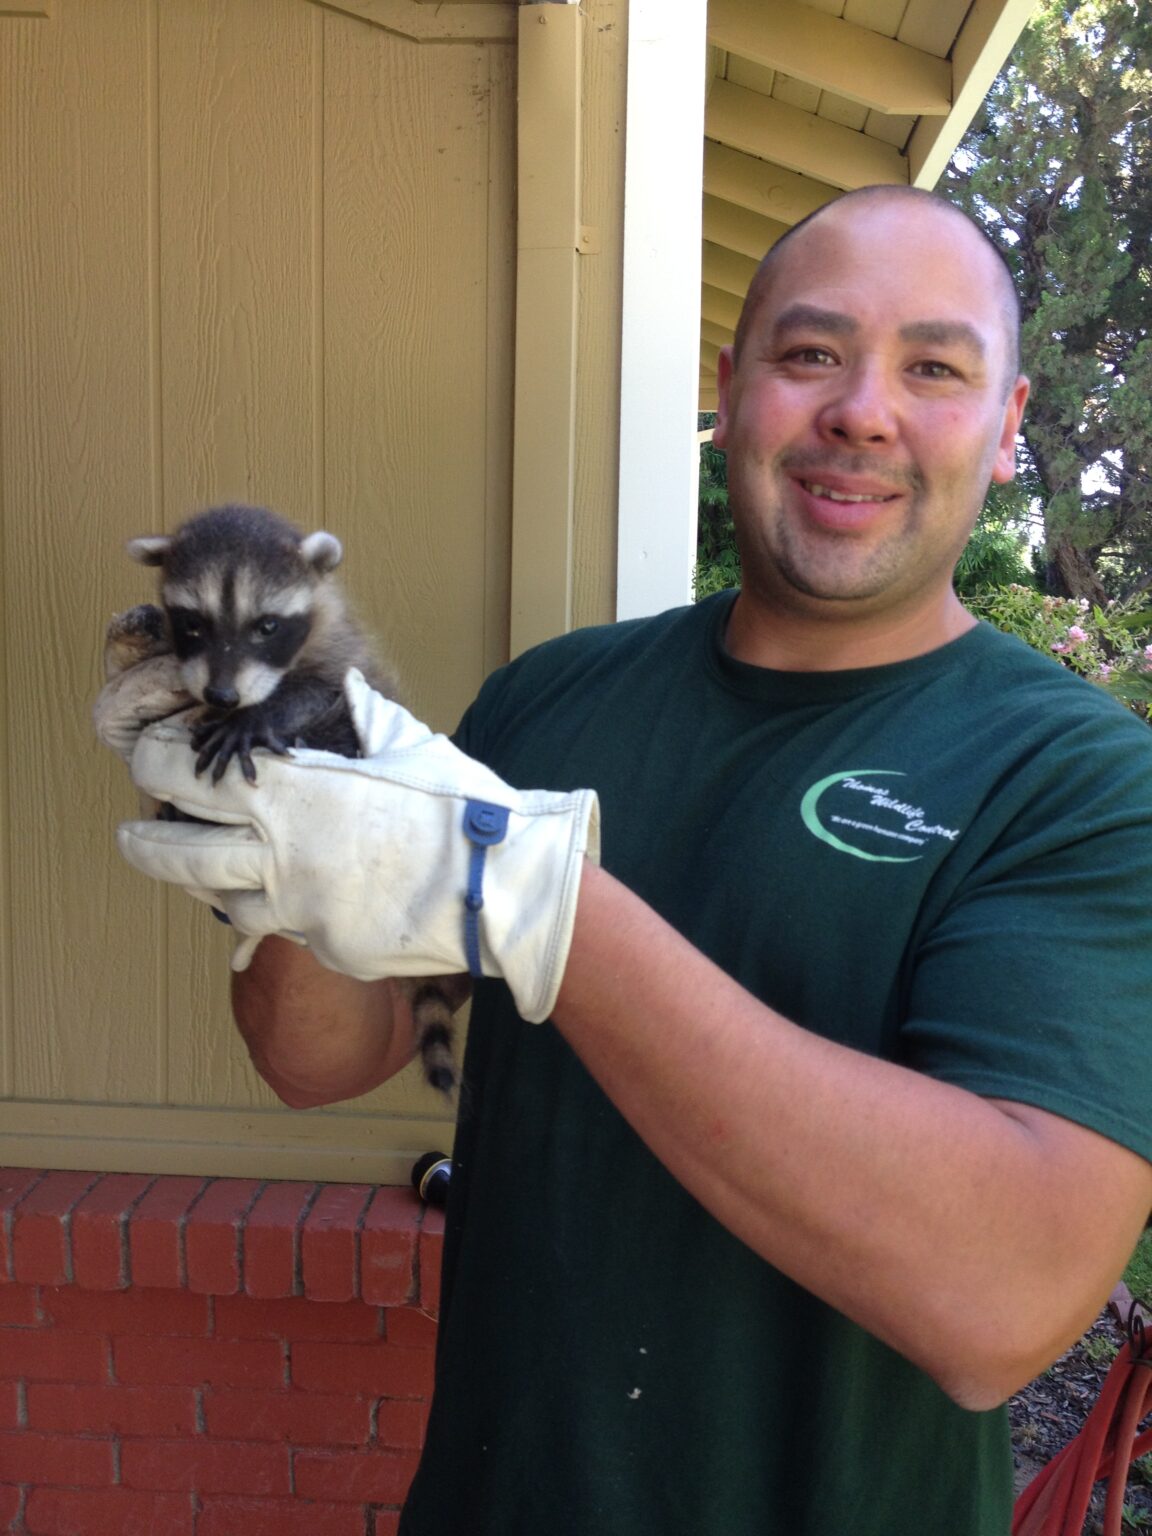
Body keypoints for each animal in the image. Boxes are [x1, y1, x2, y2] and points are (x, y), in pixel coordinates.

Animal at [113, 503, 461, 1098]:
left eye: (267, 626)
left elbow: (322, 690)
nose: (222, 696)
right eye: (194, 622)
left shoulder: (341, 653)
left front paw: (261, 716)